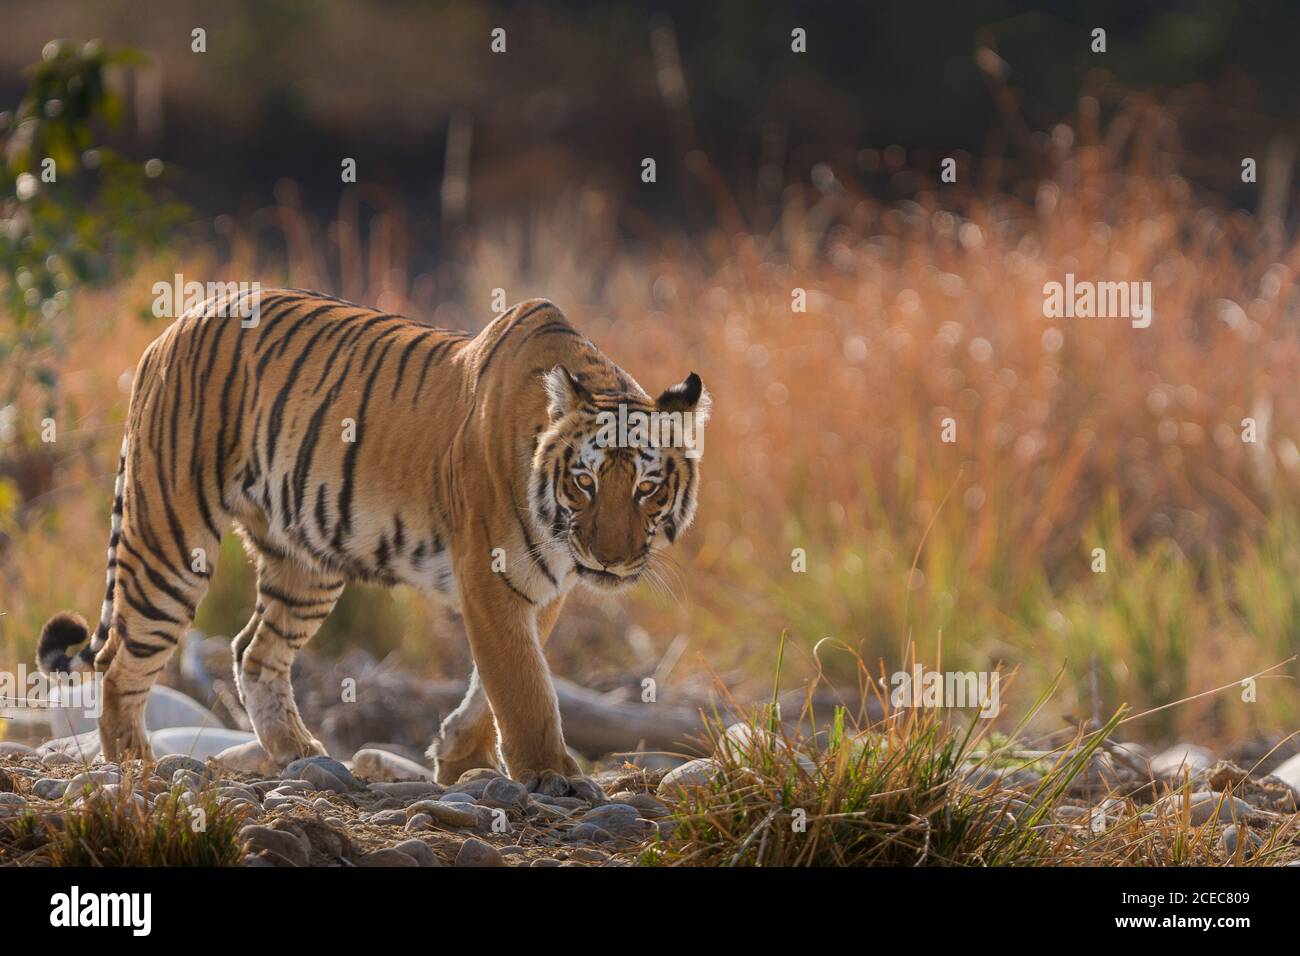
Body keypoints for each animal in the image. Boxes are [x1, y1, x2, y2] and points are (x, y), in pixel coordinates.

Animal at [36, 289, 709, 795]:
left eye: (648, 488)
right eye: (584, 482)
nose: (611, 560)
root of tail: (172, 327)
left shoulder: (538, 589)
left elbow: (498, 682)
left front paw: (461, 760)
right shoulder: (491, 576)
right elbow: (523, 686)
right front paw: (550, 774)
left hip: (305, 564)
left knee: (253, 649)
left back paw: (299, 752)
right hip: (171, 541)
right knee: (119, 661)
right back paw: (134, 767)